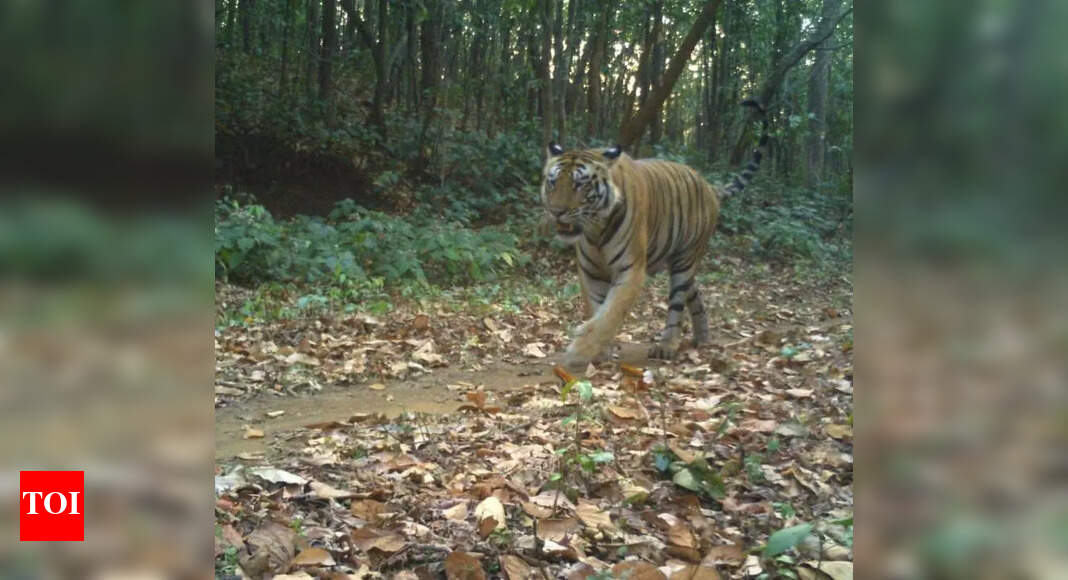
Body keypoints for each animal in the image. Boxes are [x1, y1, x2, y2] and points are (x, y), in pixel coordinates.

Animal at [542, 100, 769, 372]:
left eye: (580, 184)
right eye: (552, 182)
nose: (556, 211)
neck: (596, 230)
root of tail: (708, 186)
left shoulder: (631, 270)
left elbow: (609, 314)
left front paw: (579, 352)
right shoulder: (590, 271)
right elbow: (596, 308)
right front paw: (599, 352)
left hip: (684, 261)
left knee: (677, 304)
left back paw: (667, 345)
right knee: (696, 294)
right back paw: (702, 337)